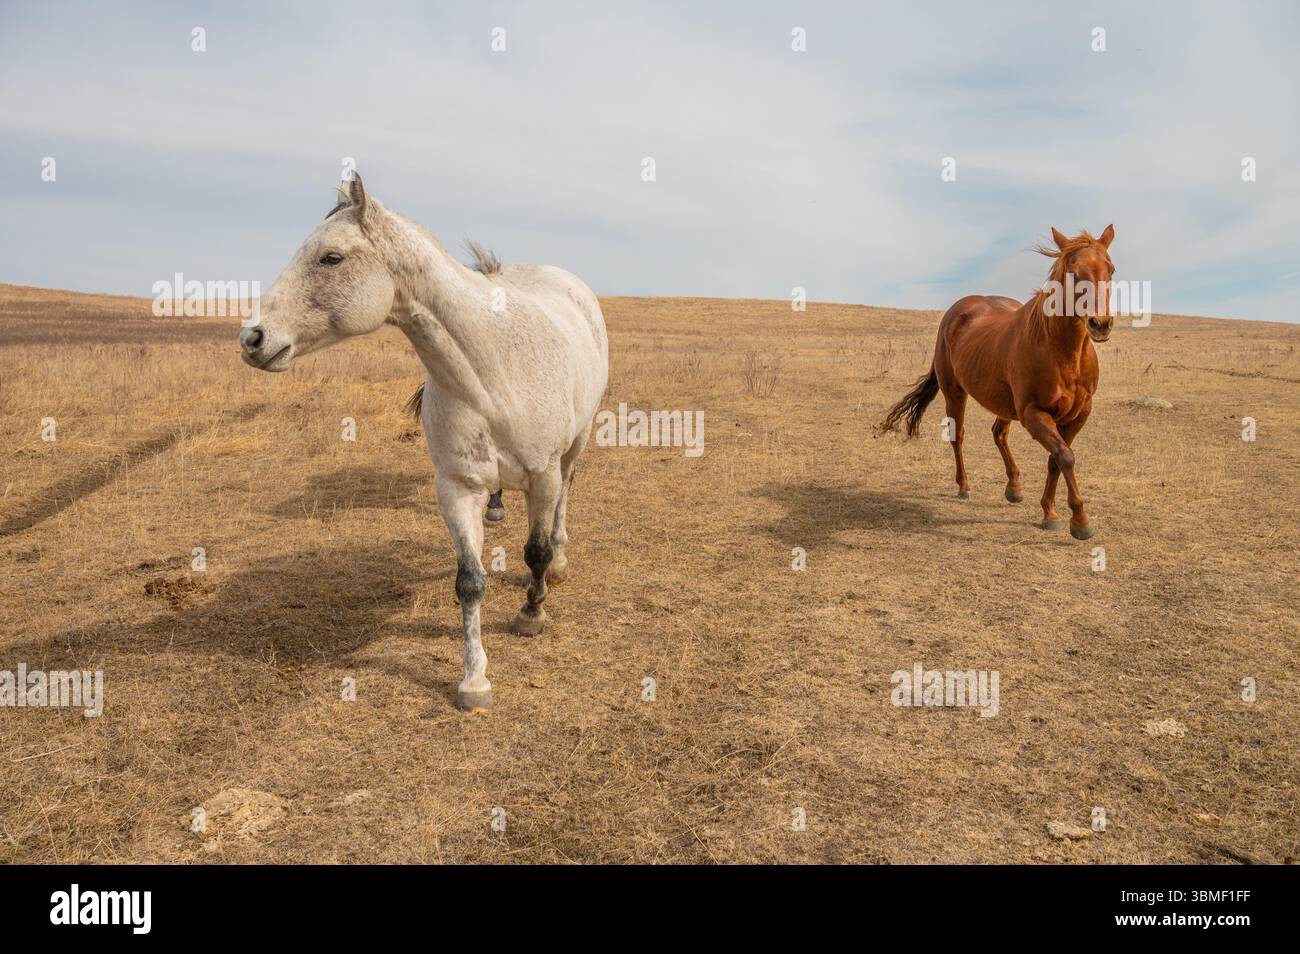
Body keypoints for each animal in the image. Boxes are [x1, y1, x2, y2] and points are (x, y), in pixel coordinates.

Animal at [239, 174, 609, 712]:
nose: (252, 338)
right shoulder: (455, 487)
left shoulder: (543, 475)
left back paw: (558, 563)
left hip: (574, 448)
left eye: (331, 258)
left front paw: (532, 612)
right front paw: (473, 679)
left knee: (564, 499)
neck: (492, 371)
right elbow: (469, 582)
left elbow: (535, 551)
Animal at [879, 225, 1116, 540]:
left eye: (1111, 269)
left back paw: (1014, 487)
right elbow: (1065, 456)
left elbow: (1055, 458)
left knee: (998, 434)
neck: (1063, 353)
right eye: (1071, 271)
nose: (1100, 324)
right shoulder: (1033, 413)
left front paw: (1050, 513)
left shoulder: (1079, 414)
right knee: (958, 435)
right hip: (955, 393)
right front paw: (1080, 520)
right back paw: (964, 486)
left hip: (1005, 405)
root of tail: (958, 310)